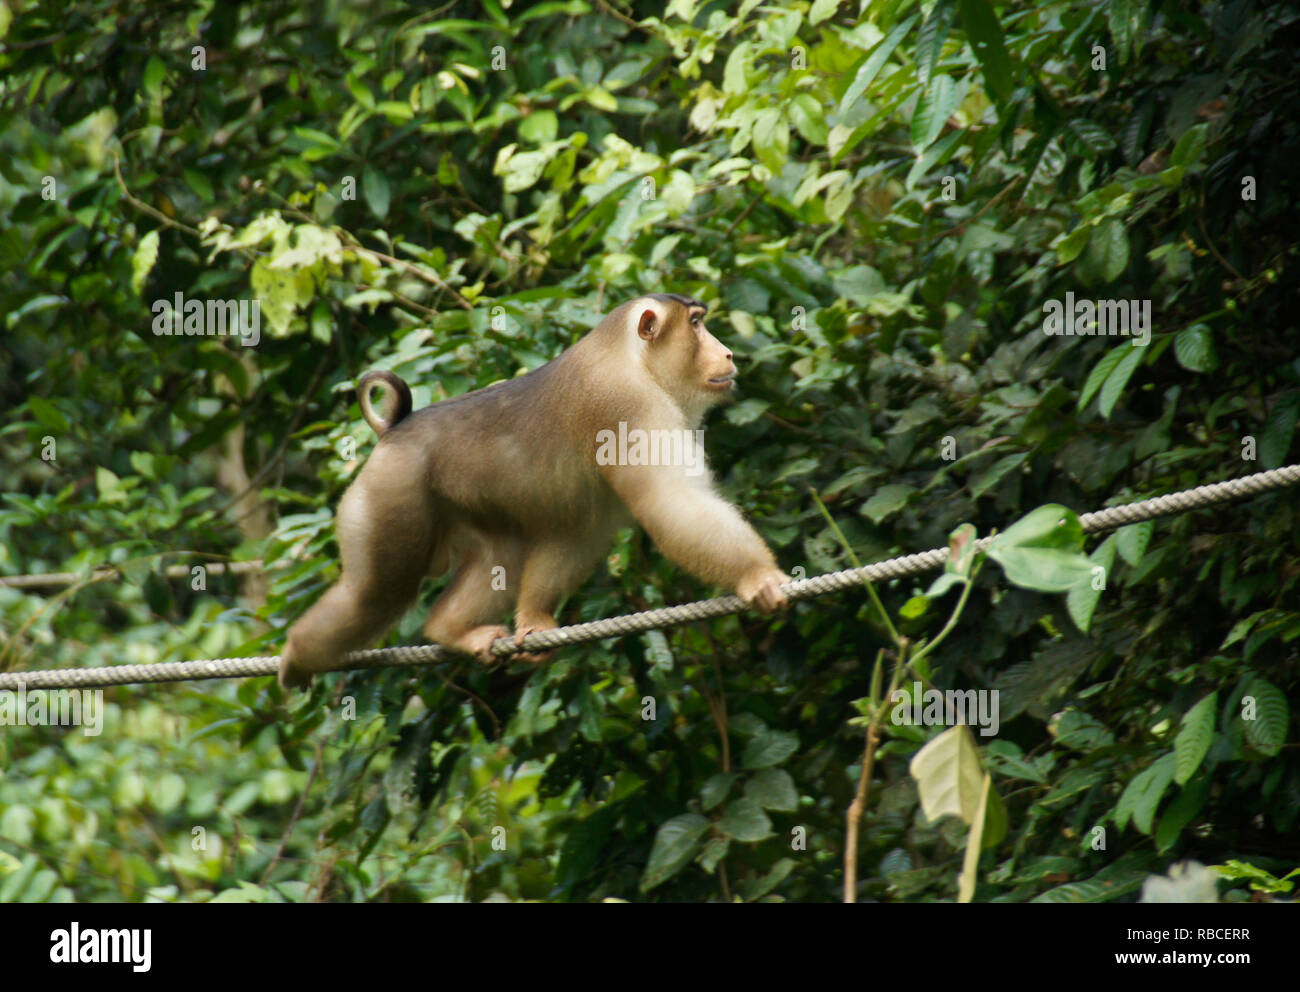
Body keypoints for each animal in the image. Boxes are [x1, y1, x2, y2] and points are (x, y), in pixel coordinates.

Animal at [278, 294, 789, 689]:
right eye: (697, 324)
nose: (727, 353)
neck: (632, 357)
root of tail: (396, 430)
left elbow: (576, 533)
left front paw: (534, 620)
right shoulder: (626, 404)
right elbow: (672, 501)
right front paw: (758, 575)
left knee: (501, 554)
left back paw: (449, 629)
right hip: (391, 492)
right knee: (376, 595)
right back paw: (299, 654)